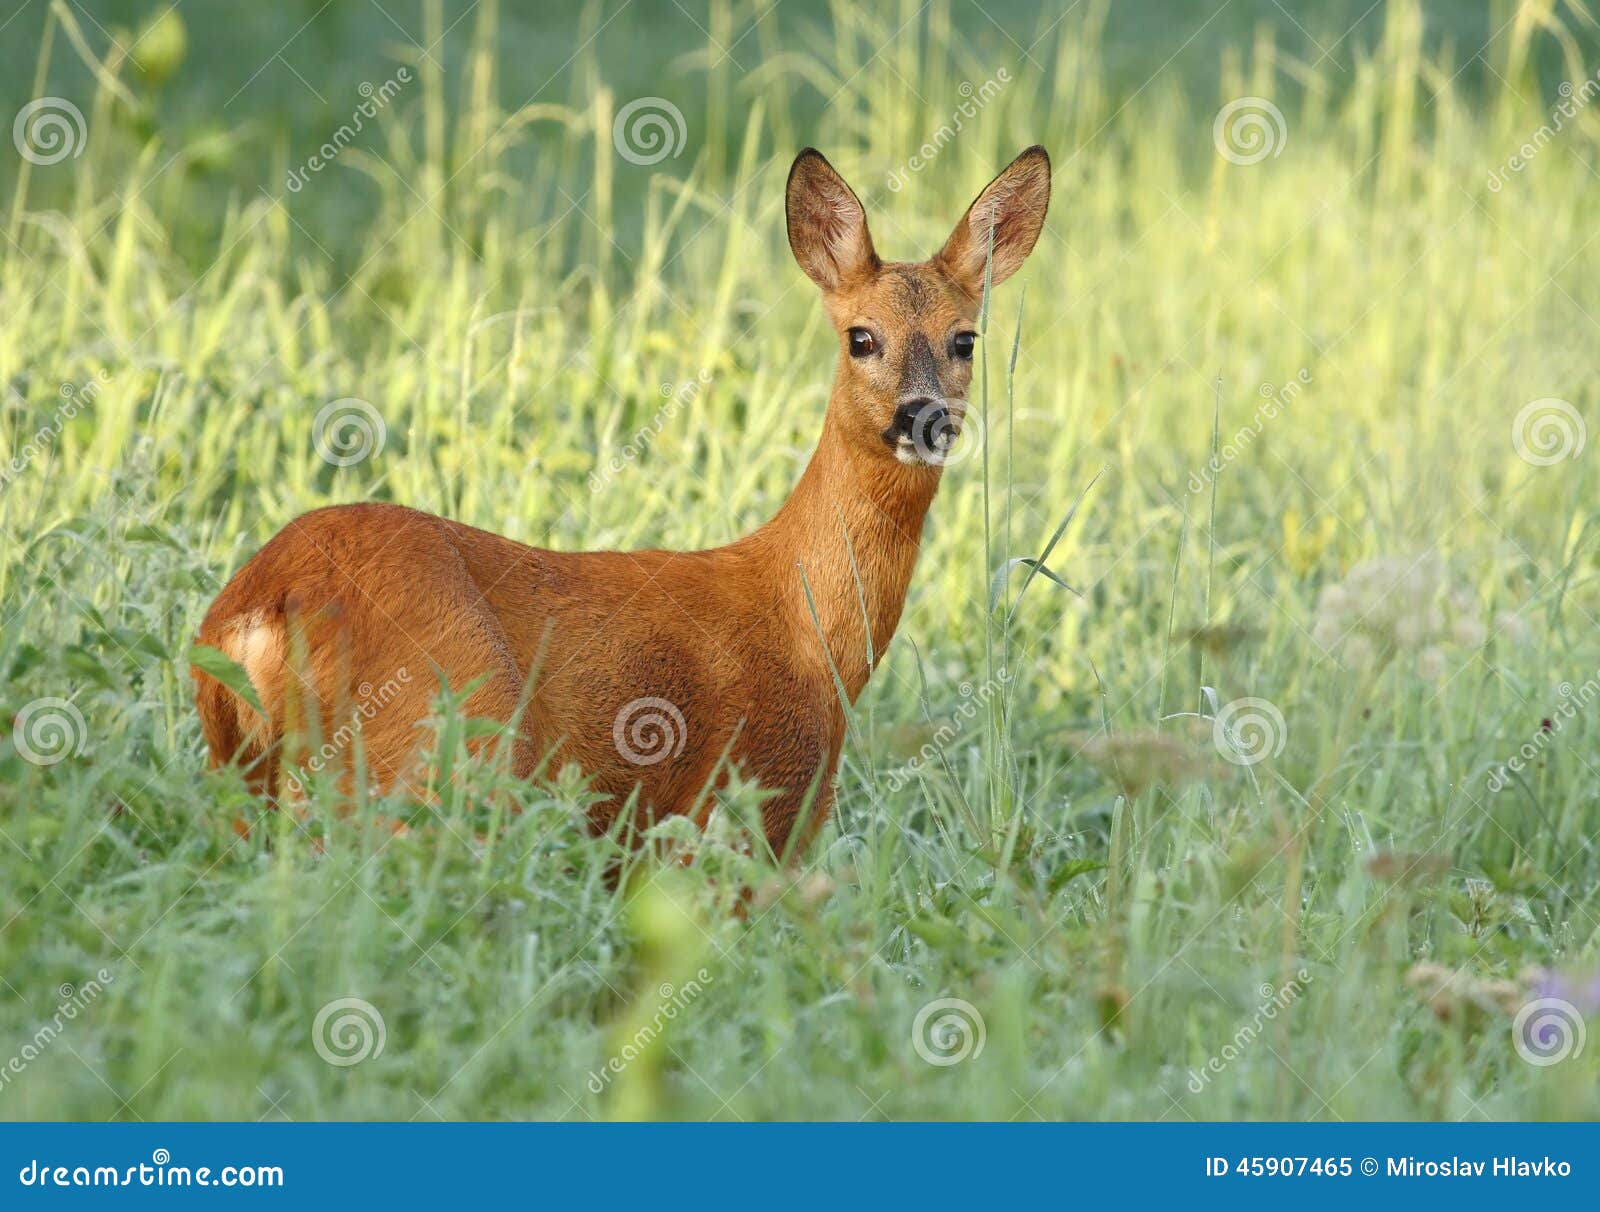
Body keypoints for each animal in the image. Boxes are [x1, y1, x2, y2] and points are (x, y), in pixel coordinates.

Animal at [192, 146, 1051, 860]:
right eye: (861, 337)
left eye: (966, 339)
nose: (924, 417)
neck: (809, 626)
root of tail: (259, 605)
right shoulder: (749, 805)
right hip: (441, 744)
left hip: (249, 771)